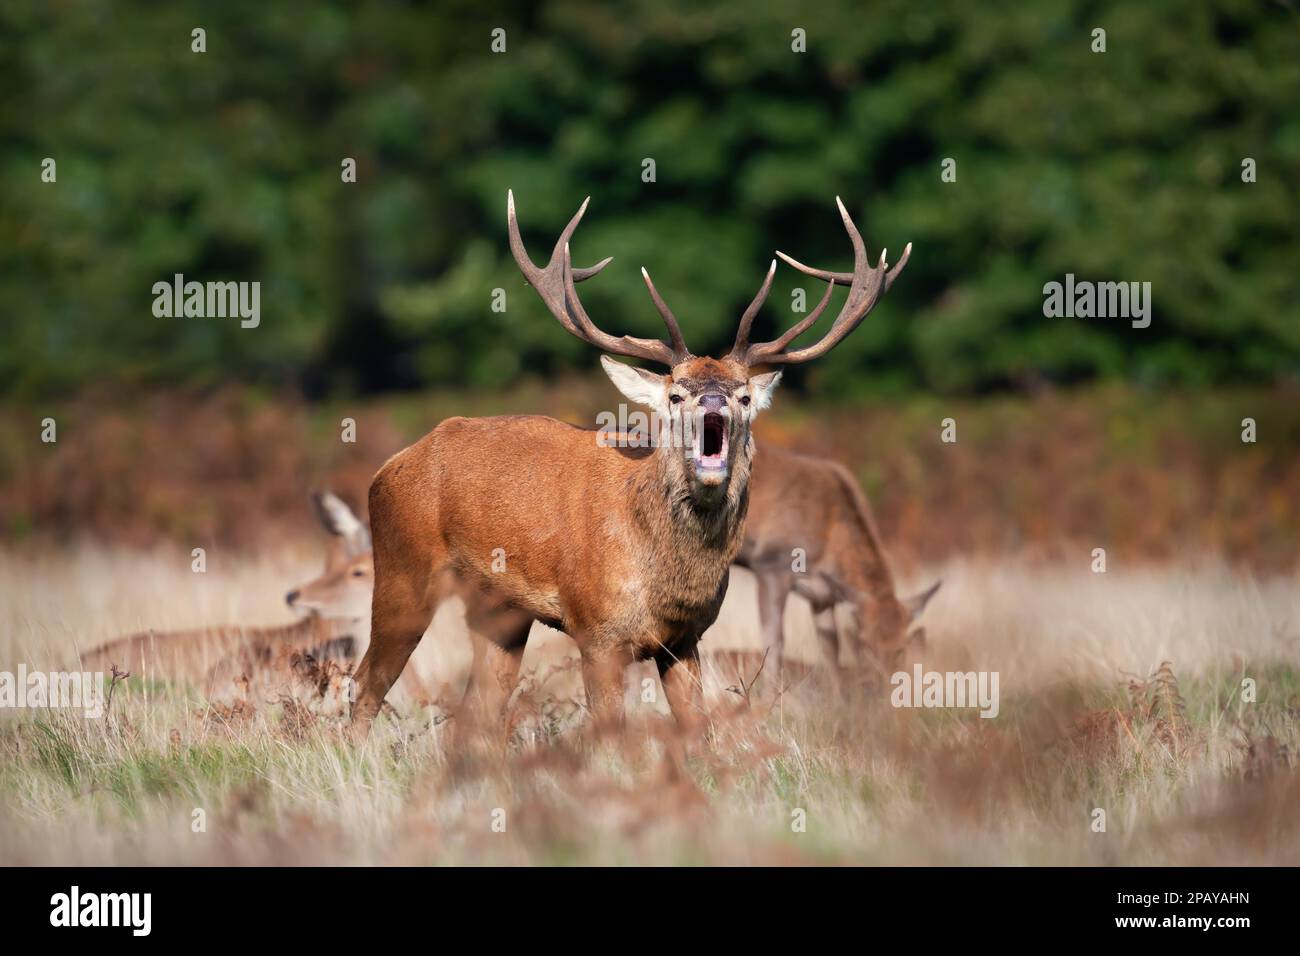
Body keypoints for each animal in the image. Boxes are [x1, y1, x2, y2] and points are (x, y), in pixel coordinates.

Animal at [347, 191, 910, 738]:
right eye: (677, 394)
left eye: (745, 395)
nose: (713, 402)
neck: (663, 576)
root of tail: (388, 466)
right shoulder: (596, 630)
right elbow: (611, 735)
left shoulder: (685, 640)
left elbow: (698, 734)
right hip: (403, 570)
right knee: (364, 684)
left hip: (499, 611)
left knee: (475, 712)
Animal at [735, 443, 941, 688]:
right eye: (864, 645)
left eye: (900, 649)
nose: (881, 685)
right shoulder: (770, 564)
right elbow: (774, 642)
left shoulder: (822, 597)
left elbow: (831, 652)